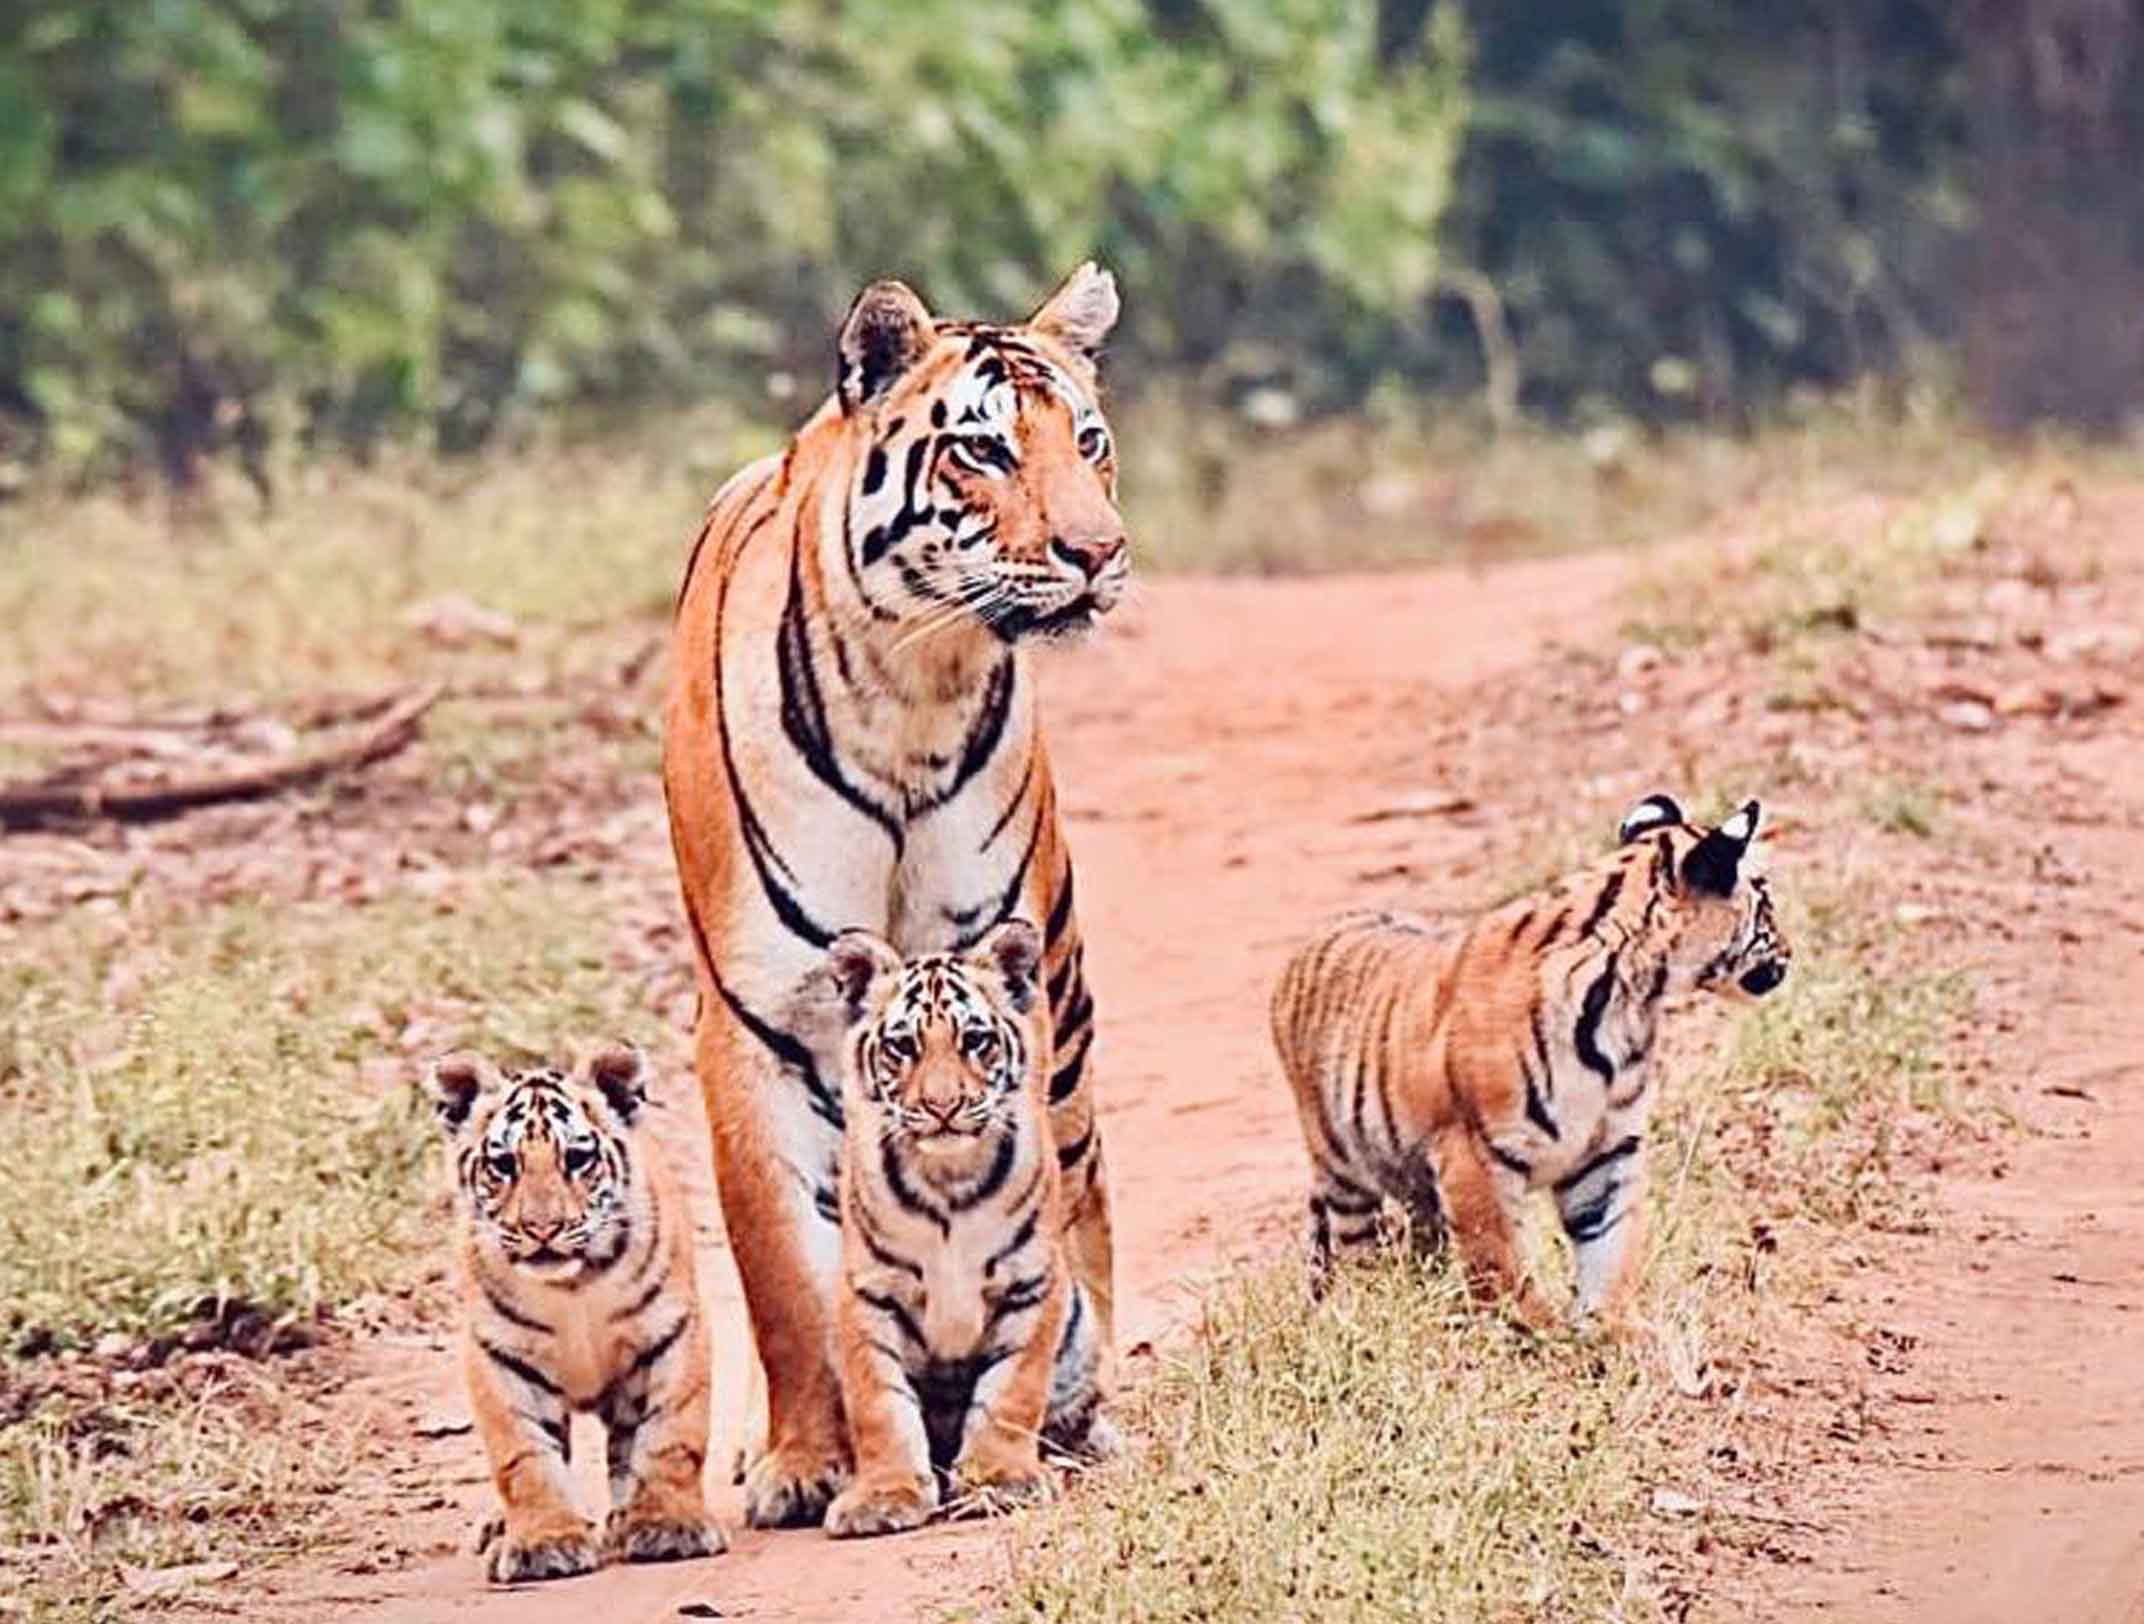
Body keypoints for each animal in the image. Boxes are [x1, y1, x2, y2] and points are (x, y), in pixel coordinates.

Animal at [427, 1046, 721, 1583]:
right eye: (504, 1164)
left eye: (577, 1159)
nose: (542, 1227)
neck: (573, 1286)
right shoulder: (499, 1353)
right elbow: (525, 1457)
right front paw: (545, 1542)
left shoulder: (673, 1333)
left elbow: (667, 1438)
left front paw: (669, 1525)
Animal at [788, 920, 1107, 1539]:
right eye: (902, 1046)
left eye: (976, 1041)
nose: (942, 1106)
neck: (947, 1182)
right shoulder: (867, 1295)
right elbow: (880, 1405)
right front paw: (883, 1496)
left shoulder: (1033, 1284)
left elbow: (1011, 1392)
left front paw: (1000, 1479)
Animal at [1270, 794, 1792, 1333]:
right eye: (1766, 905)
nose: (1790, 954)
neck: (1630, 997)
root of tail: (1319, 936)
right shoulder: (1472, 1154)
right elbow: (1498, 1261)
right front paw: (1534, 1331)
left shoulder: (1609, 1150)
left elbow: (1611, 1246)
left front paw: (1611, 1329)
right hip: (1343, 1171)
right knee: (1357, 1249)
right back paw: (1371, 1308)